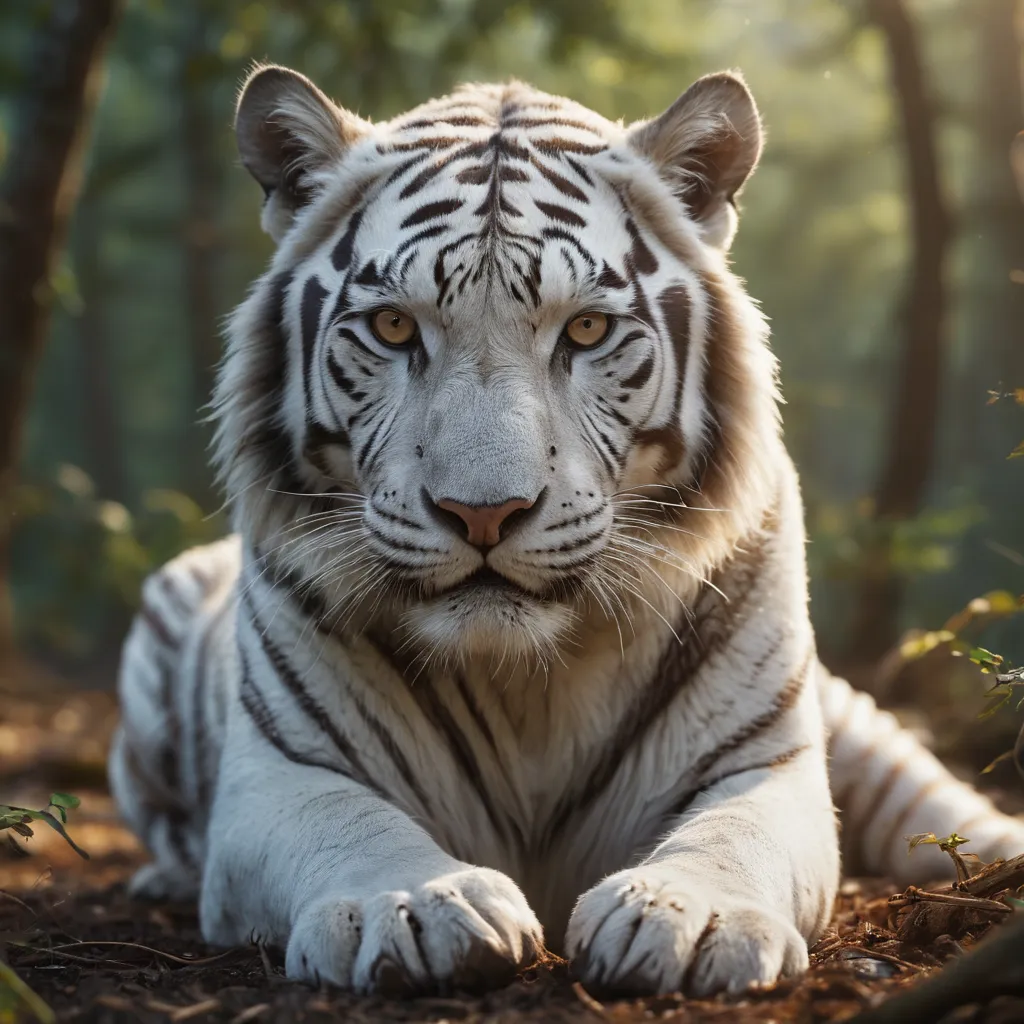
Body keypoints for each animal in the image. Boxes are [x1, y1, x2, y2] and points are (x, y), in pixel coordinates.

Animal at [109, 64, 1024, 998]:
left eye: (585, 328)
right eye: (395, 326)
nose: (482, 512)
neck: (528, 684)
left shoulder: (763, 763)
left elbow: (733, 835)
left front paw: (689, 915)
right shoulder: (284, 769)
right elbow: (350, 824)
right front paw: (415, 903)